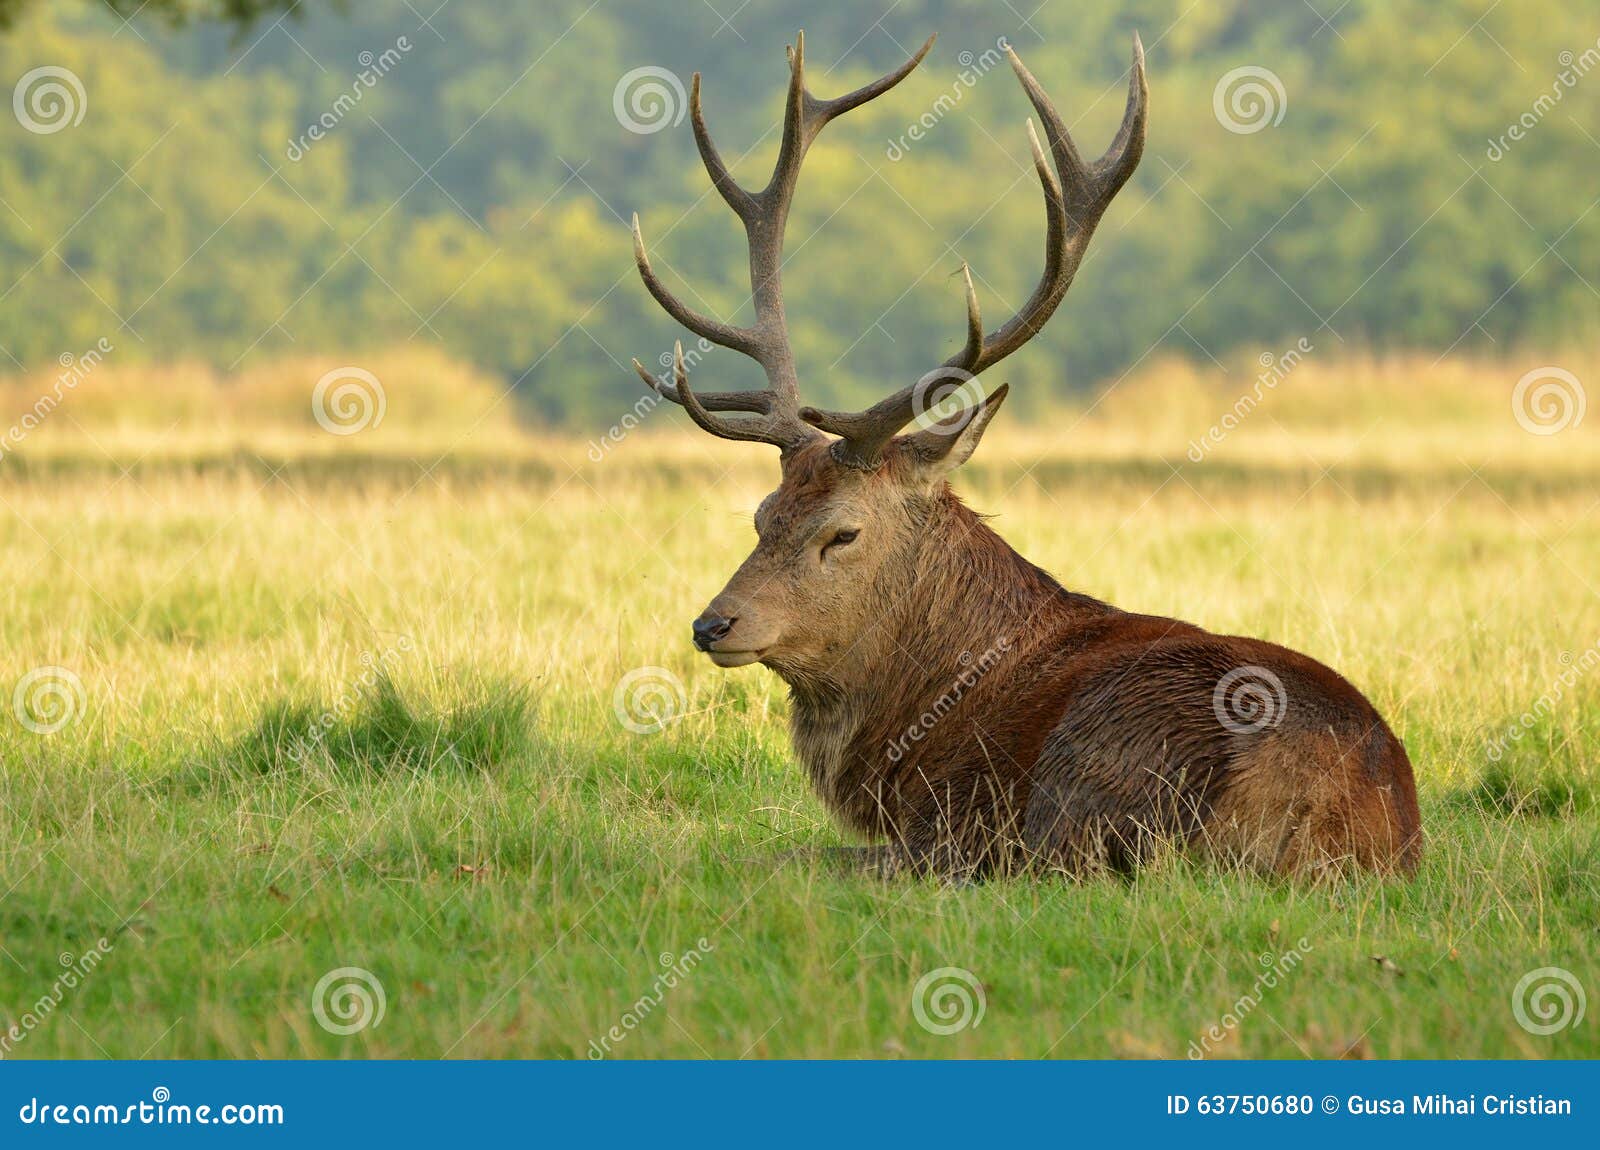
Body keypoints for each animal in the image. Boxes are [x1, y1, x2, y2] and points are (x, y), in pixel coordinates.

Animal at [628, 32, 1421, 880]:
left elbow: (780, 854)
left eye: (843, 532)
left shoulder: (956, 818)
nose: (713, 623)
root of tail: (1368, 823)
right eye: (761, 515)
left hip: (1100, 760)